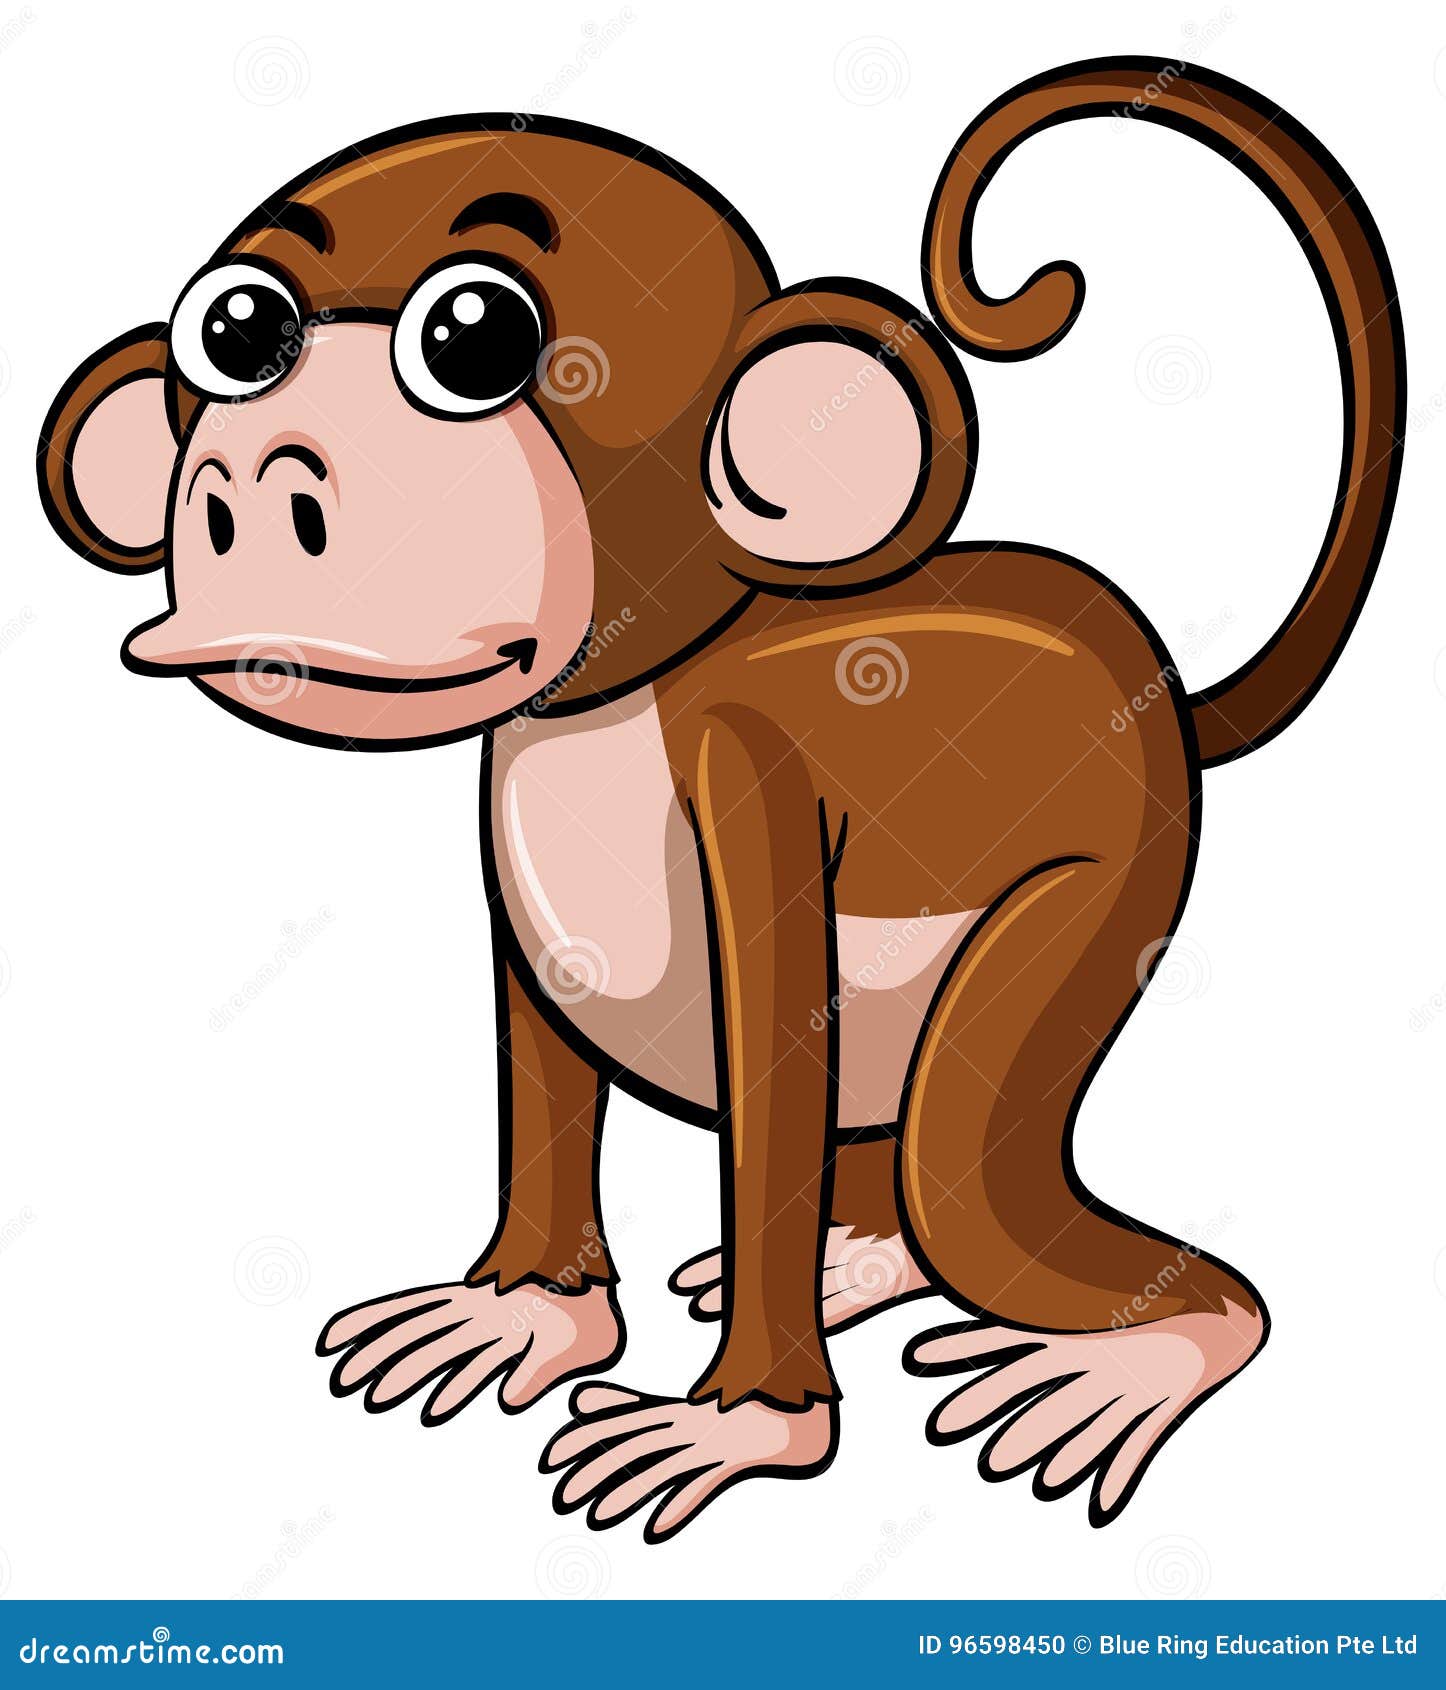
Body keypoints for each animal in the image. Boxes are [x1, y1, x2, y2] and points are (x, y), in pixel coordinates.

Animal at [38, 58, 1402, 1543]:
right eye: (237, 331)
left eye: (473, 337)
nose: (258, 469)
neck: (628, 693)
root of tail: (1153, 677)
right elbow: (544, 1045)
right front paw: (523, 1312)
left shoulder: (748, 771)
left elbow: (773, 1054)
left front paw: (748, 1425)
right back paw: (863, 1256)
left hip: (1112, 871)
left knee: (974, 1177)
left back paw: (1143, 1349)